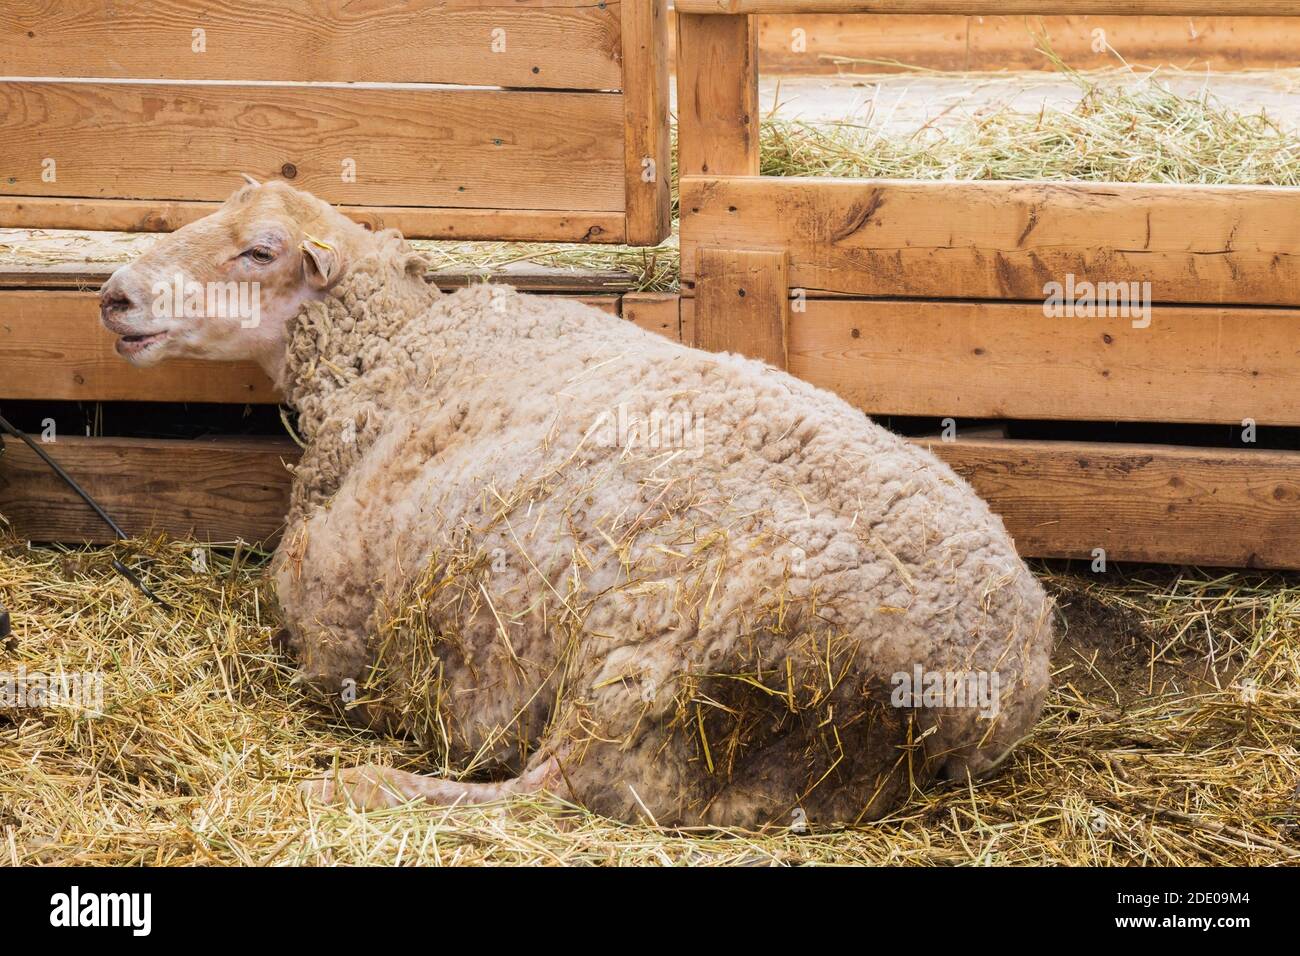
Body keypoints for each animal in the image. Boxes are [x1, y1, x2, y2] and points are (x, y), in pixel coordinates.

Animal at [99, 181, 1055, 827]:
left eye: (260, 251)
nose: (114, 294)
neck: (399, 350)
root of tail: (986, 687)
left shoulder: (331, 612)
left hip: (643, 673)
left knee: (540, 792)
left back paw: (352, 786)